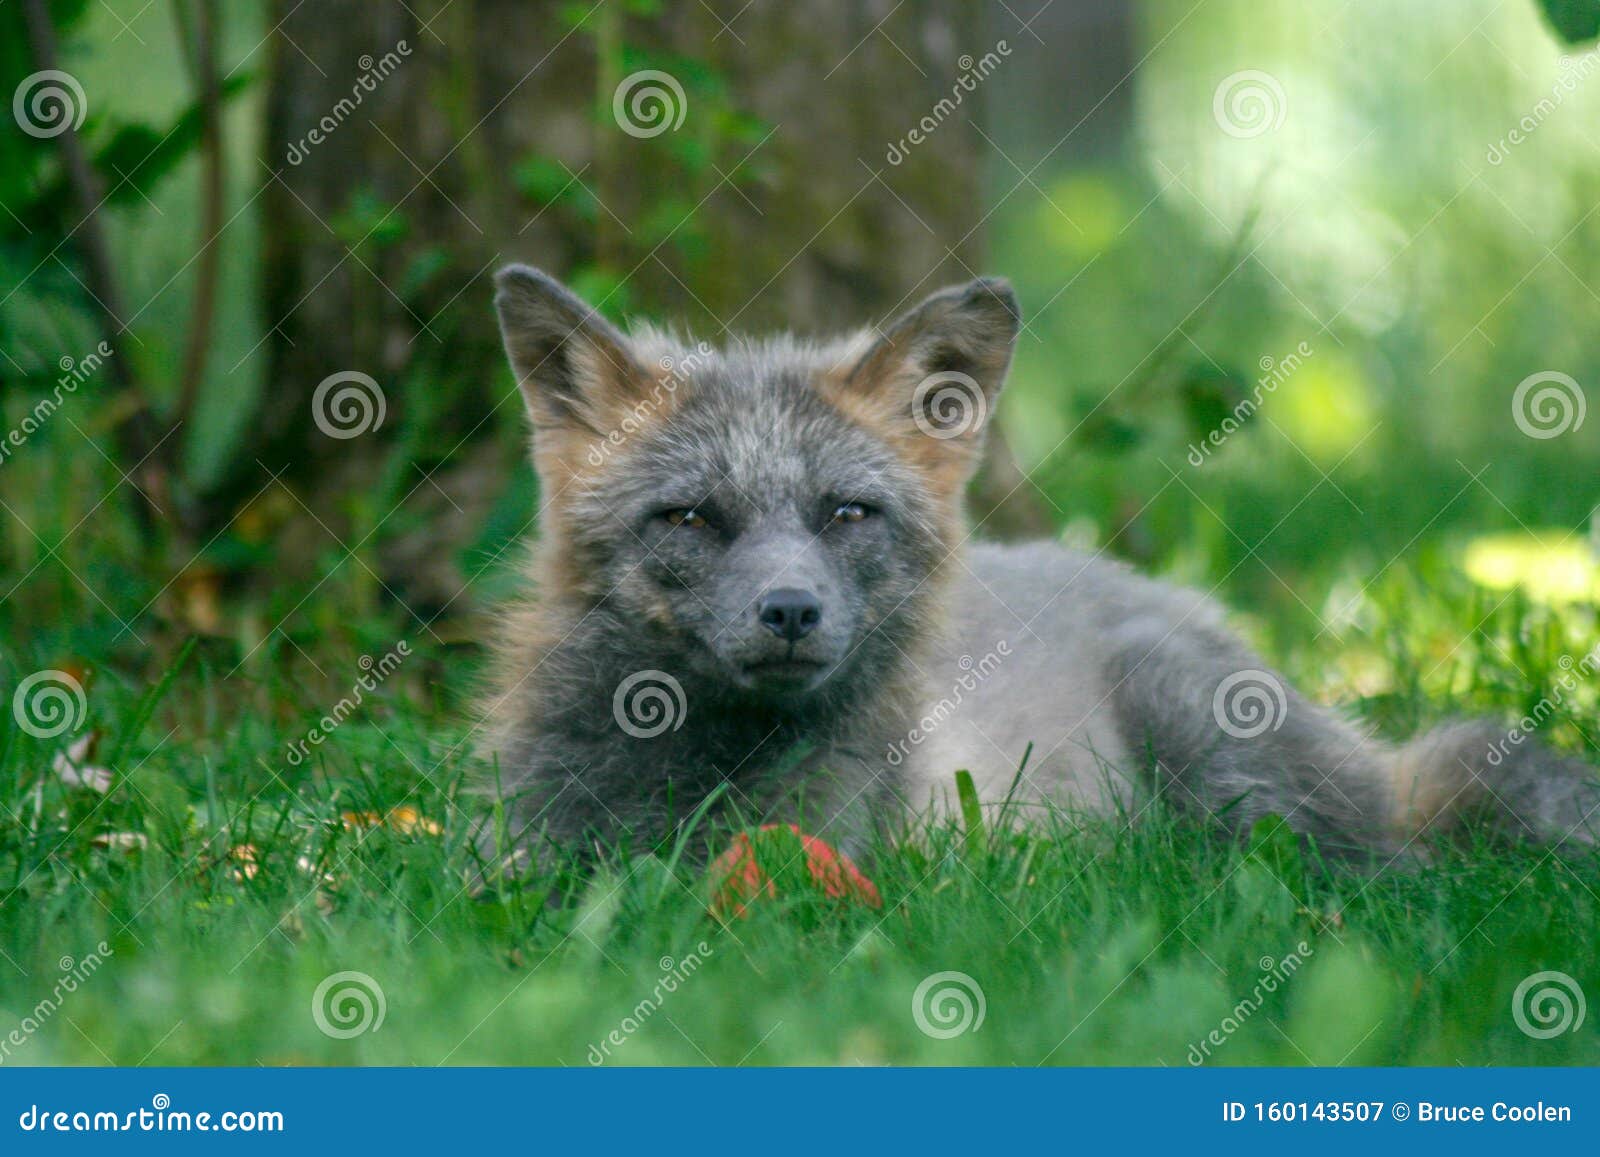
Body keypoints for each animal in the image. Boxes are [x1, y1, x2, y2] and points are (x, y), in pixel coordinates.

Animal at [476, 264, 1598, 873]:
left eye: (846, 513)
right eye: (692, 518)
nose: (790, 611)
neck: (686, 784)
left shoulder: (829, 862)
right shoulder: (513, 857)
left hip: (1207, 736)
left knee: (1373, 861)